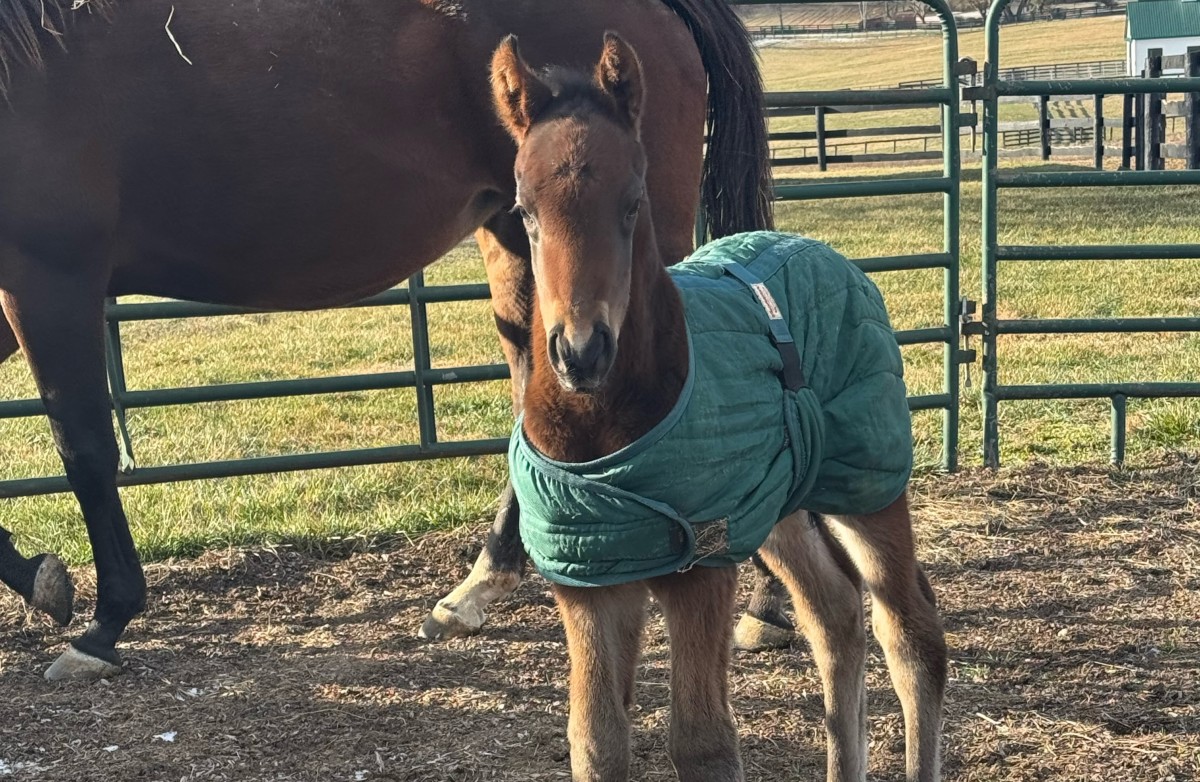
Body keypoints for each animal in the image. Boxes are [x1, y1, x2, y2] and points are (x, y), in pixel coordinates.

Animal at [0, 0, 779, 681]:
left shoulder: (49, 280)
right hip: (517, 246)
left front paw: (101, 624)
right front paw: (41, 578)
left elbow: (84, 452)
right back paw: (479, 587)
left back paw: (765, 599)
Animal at [493, 34, 948, 782]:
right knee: (835, 615)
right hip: (779, 504)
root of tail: (813, 247)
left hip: (867, 484)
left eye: (633, 202)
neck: (604, 437)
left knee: (912, 637)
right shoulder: (588, 580)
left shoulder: (702, 565)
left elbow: (703, 740)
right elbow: (596, 740)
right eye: (524, 210)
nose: (581, 351)